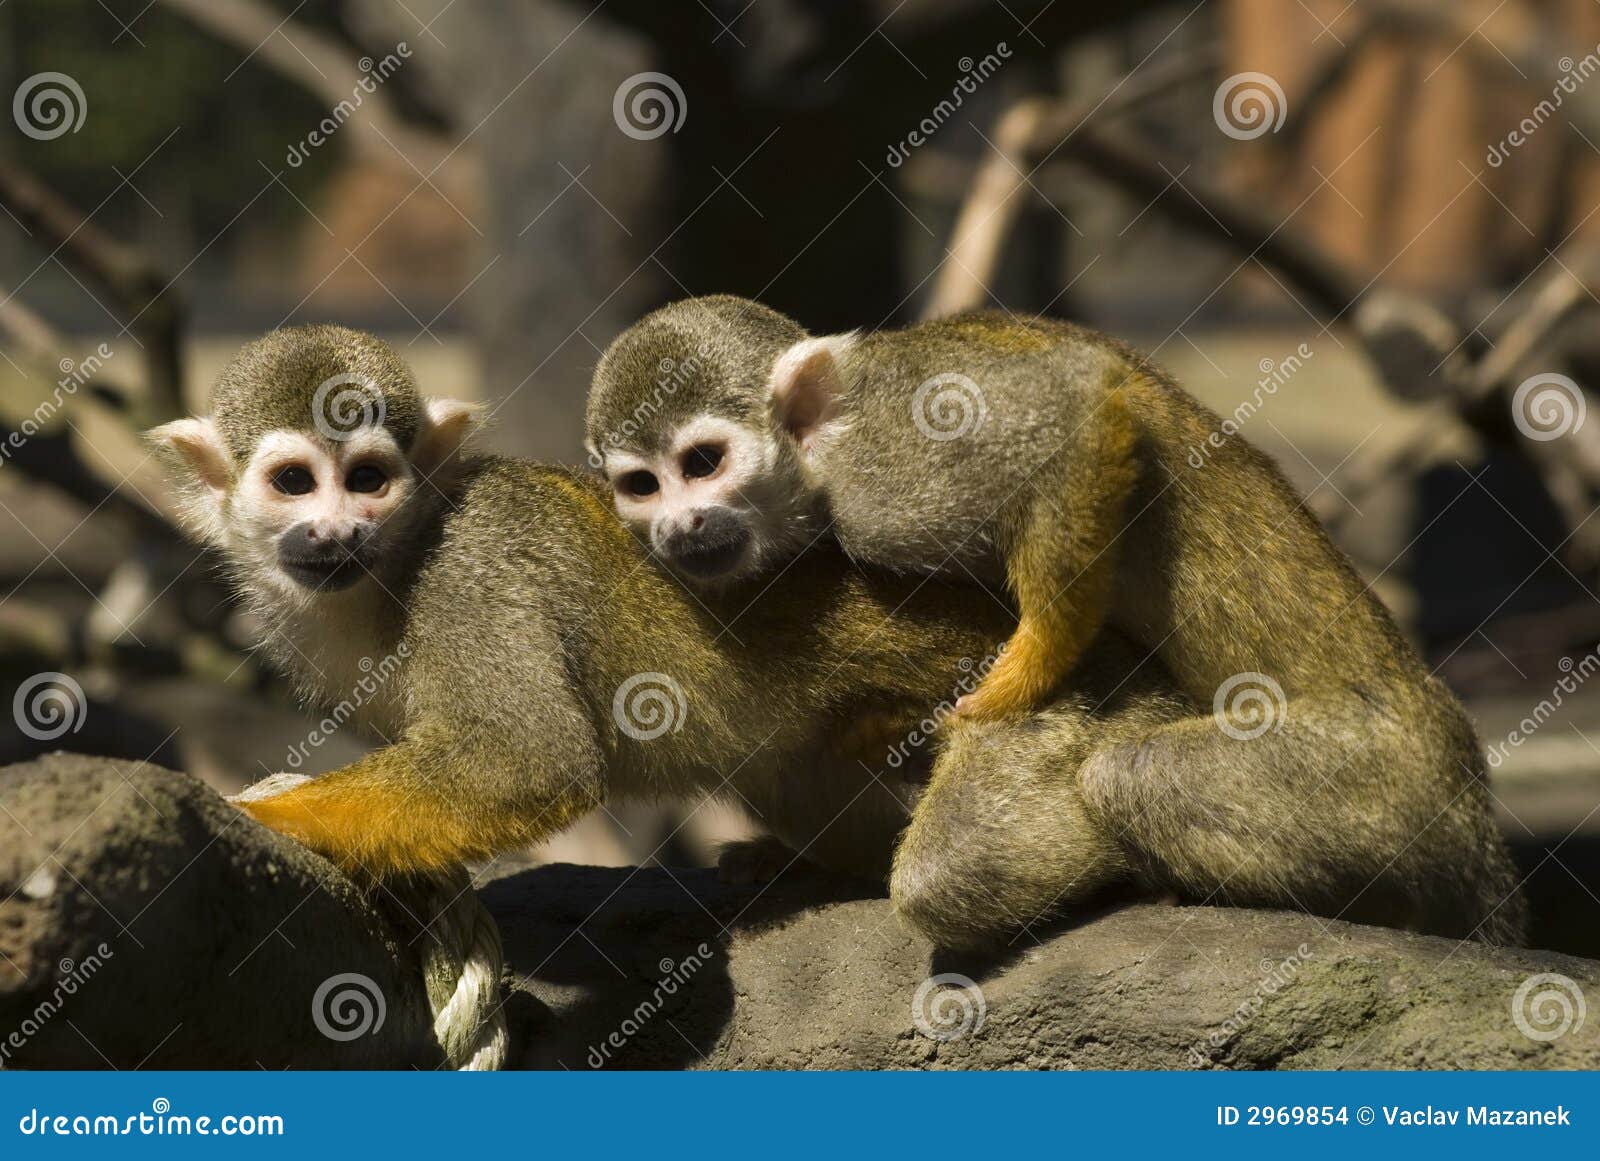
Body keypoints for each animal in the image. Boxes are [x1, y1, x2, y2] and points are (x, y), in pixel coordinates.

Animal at [149, 325, 1525, 951]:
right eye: (294, 482)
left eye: (369, 477)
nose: (336, 529)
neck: (381, 581)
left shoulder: (469, 566)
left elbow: (521, 760)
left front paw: (271, 815)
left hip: (1087, 708)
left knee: (1032, 817)